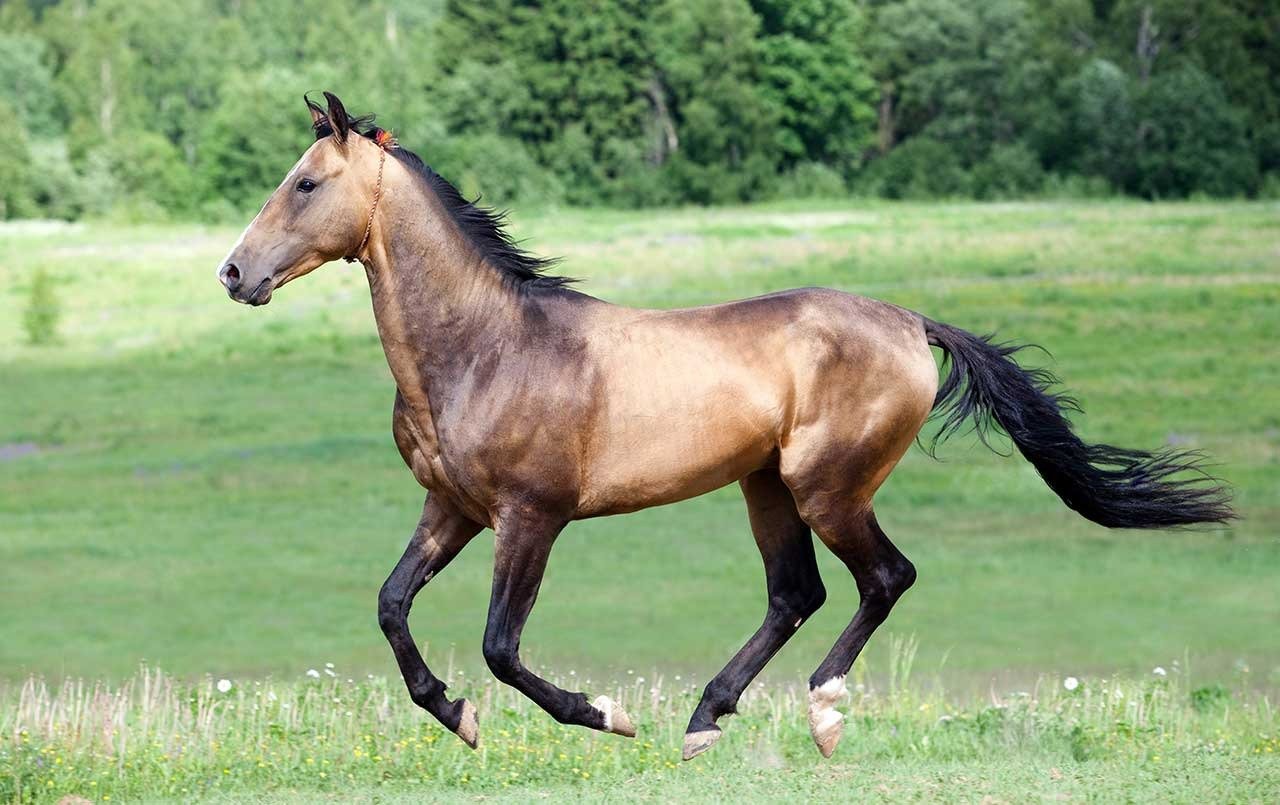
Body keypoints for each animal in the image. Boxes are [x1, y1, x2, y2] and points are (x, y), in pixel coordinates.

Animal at [217, 92, 1233, 760]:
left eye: (305, 184)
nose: (234, 273)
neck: (485, 349)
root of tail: (912, 323)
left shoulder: (531, 516)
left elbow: (502, 646)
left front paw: (606, 713)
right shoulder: (452, 508)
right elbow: (392, 607)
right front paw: (456, 715)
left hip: (828, 485)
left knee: (882, 577)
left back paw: (819, 711)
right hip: (766, 484)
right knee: (797, 593)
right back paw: (705, 719)